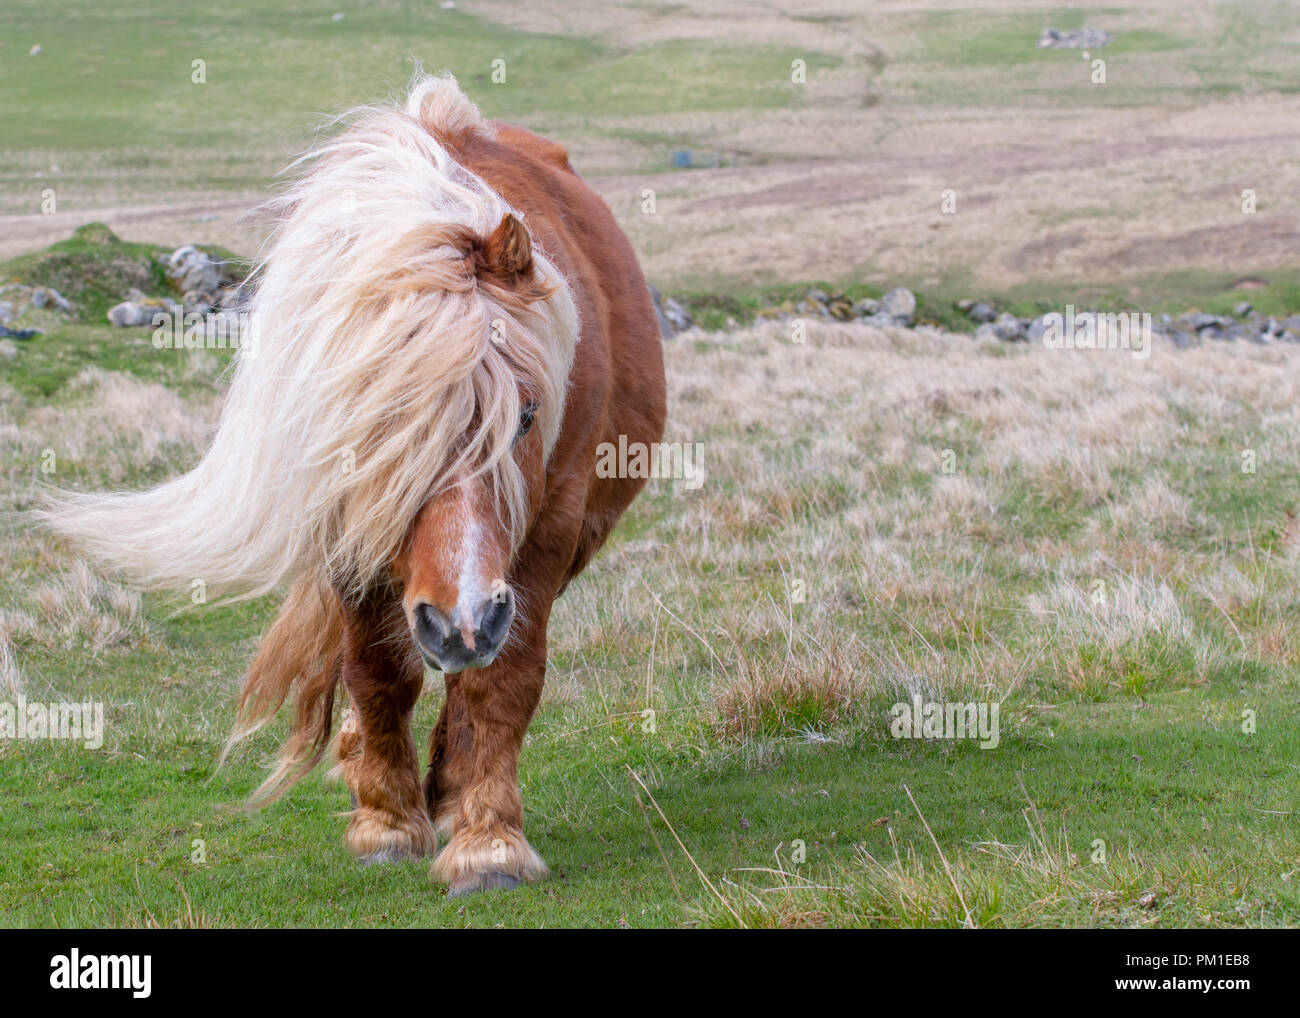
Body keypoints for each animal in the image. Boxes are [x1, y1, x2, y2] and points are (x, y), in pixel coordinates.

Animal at [40, 74, 667, 896]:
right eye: (375, 429)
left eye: (528, 415)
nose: (462, 621)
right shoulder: (344, 538)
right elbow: (375, 673)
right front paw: (386, 824)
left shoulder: (544, 541)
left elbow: (500, 683)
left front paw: (487, 840)